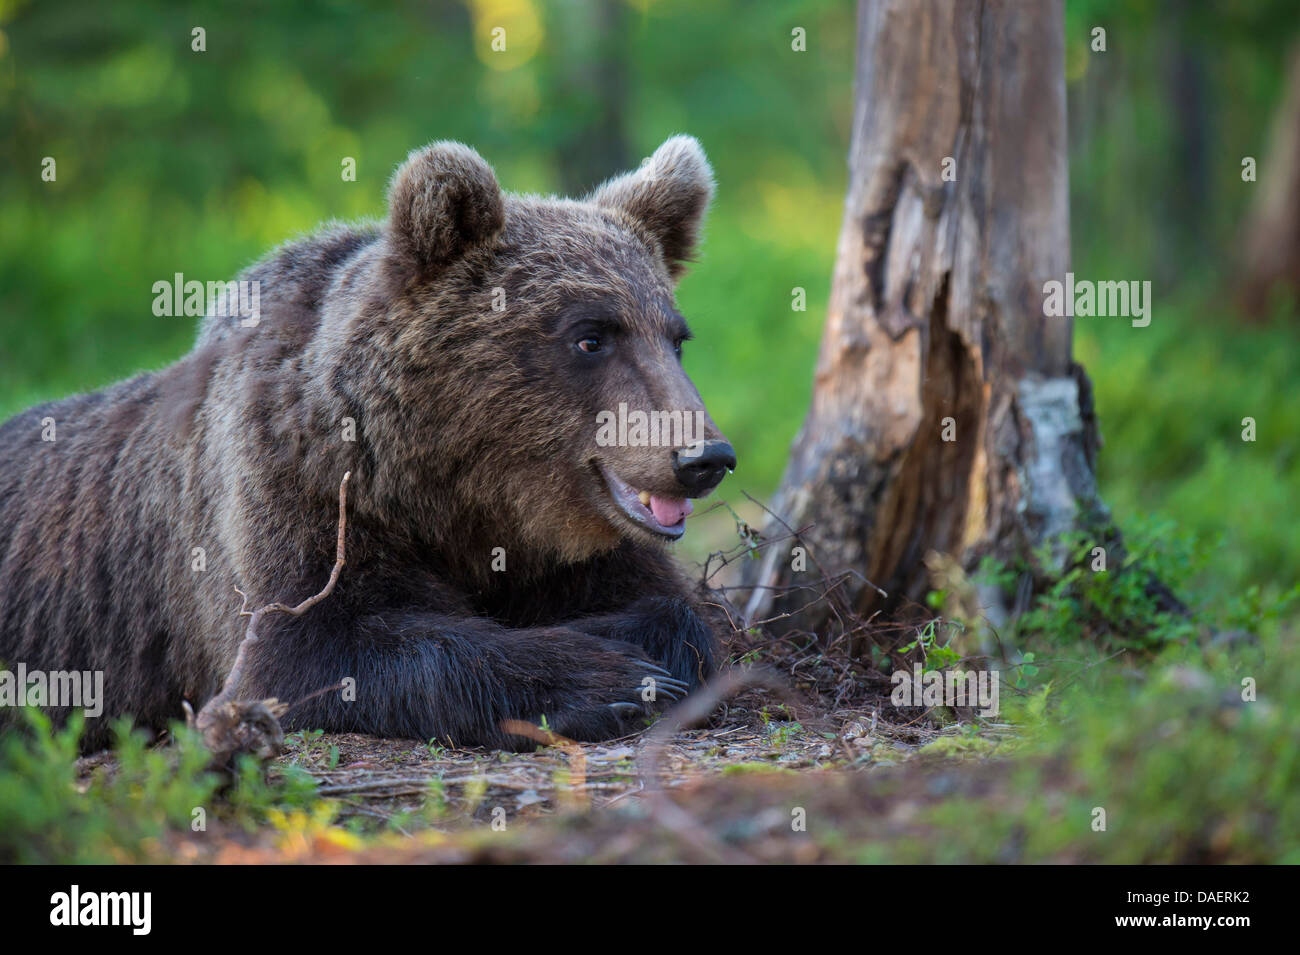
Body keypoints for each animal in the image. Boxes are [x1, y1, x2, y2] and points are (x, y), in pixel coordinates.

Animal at [0, 136, 737, 752]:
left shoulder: (573, 544)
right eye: (590, 336)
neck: (460, 493)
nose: (704, 457)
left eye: (675, 338)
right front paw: (607, 677)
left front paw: (640, 645)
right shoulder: (298, 488)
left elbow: (672, 610)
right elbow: (311, 649)